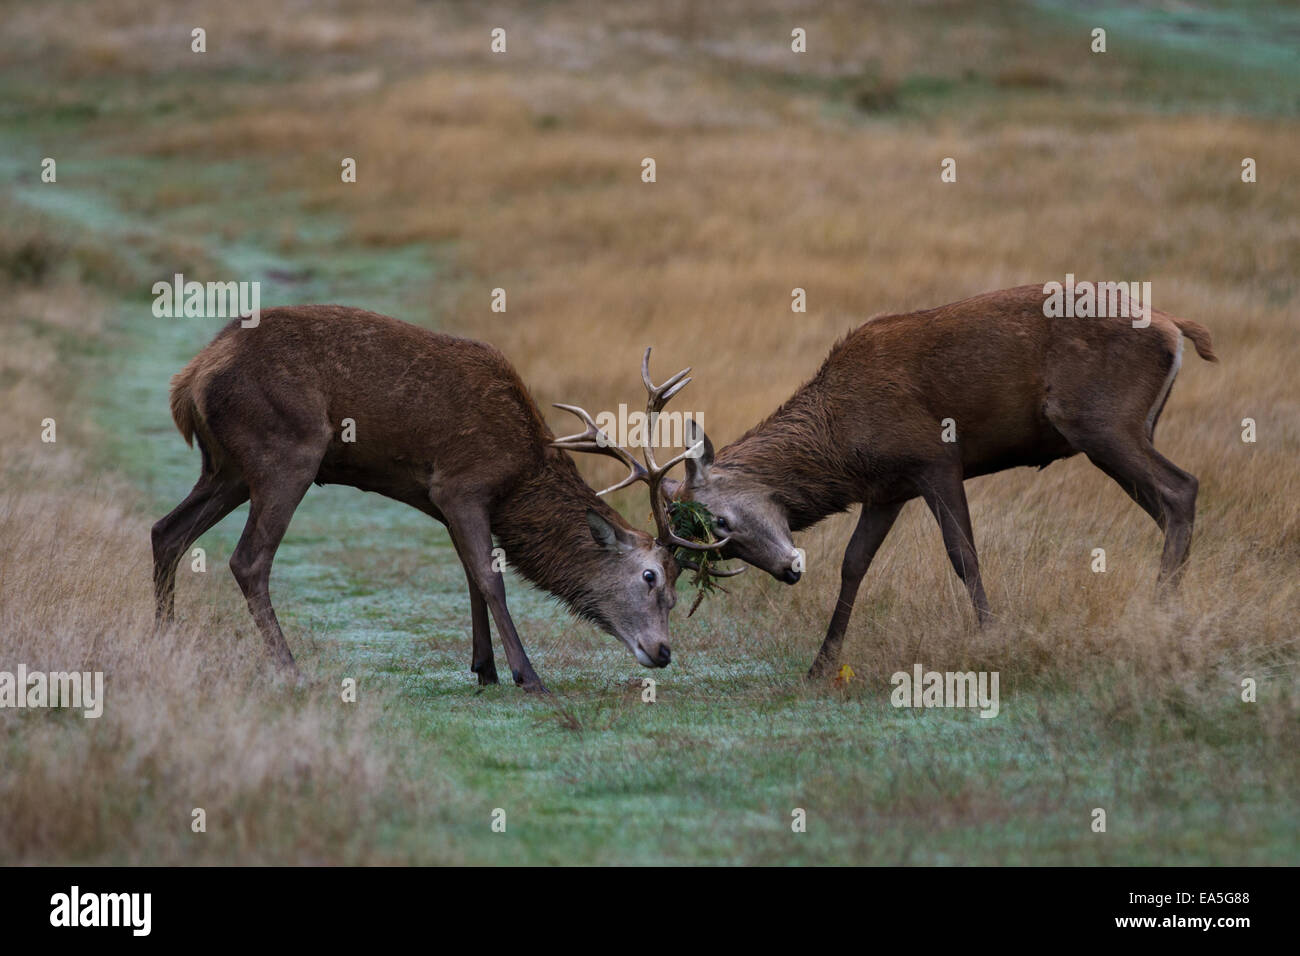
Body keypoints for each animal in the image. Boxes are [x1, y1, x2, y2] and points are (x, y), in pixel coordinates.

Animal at [151, 305, 723, 693]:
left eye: (677, 590)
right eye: (650, 577)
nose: (663, 651)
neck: (518, 478)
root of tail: (188, 381)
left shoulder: (444, 501)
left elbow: (470, 576)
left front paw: (484, 669)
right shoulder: (462, 484)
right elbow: (491, 579)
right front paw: (527, 675)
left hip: (225, 468)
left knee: (166, 531)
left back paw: (166, 637)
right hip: (286, 450)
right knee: (248, 559)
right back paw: (289, 666)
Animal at [665, 284, 1218, 678]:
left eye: (719, 522)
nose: (788, 571)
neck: (842, 444)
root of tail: (1175, 327)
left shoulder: (936, 459)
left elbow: (963, 554)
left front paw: (992, 639)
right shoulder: (886, 490)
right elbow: (854, 563)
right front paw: (820, 667)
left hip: (1100, 421)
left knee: (1181, 488)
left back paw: (1162, 615)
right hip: (1132, 427)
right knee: (1167, 506)